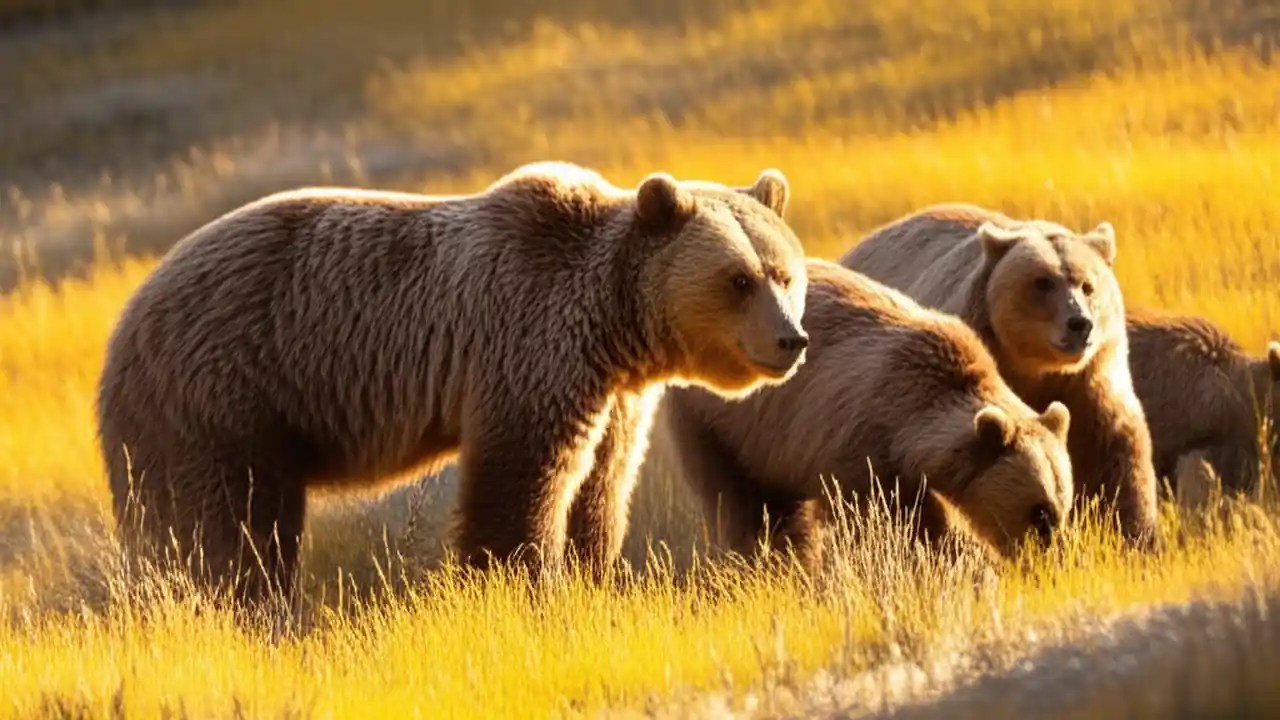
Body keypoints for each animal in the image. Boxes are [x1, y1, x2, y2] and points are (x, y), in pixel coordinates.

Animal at [97, 161, 810, 603]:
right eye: (738, 279)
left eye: (783, 273)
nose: (791, 340)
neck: (614, 327)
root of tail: (125, 320)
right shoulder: (530, 342)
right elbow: (519, 483)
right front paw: (520, 589)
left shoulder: (614, 398)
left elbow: (601, 487)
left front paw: (589, 576)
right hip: (221, 394)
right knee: (224, 530)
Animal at [660, 259, 1074, 567]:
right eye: (1038, 511)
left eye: (1064, 507)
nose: (1050, 559)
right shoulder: (860, 441)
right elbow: (896, 518)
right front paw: (947, 554)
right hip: (722, 423)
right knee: (747, 503)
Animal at [841, 203, 1158, 548]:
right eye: (1042, 282)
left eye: (1088, 285)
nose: (1080, 323)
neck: (1036, 368)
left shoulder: (1089, 379)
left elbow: (1115, 453)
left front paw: (1135, 536)